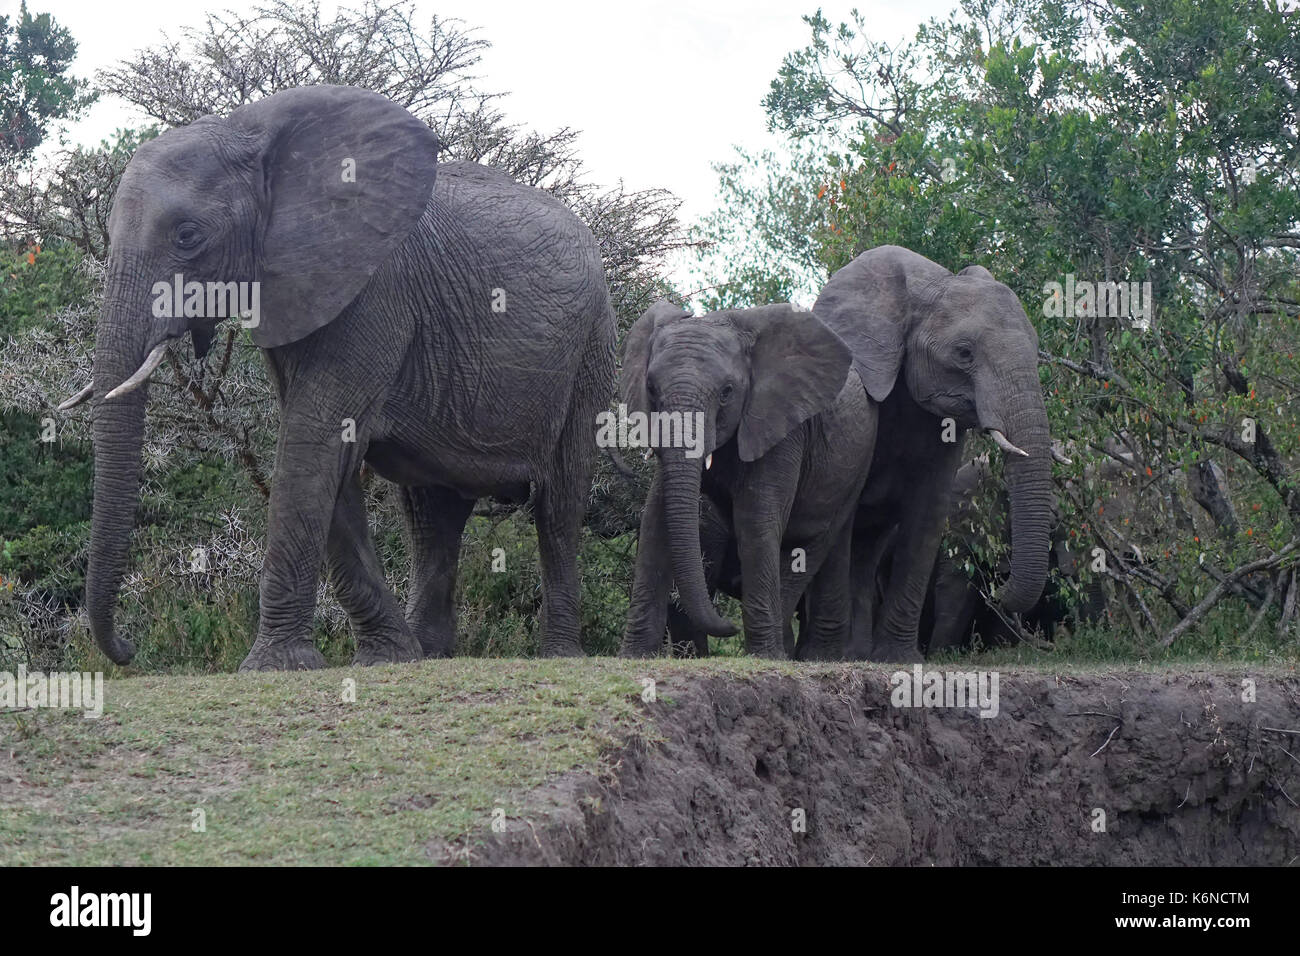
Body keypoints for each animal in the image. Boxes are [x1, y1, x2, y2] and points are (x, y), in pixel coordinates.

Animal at [61, 85, 615, 670]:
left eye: (188, 236)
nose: (127, 650)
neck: (254, 136)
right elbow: (327, 454)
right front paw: (389, 658)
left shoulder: (377, 293)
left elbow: (315, 439)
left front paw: (274, 666)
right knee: (433, 514)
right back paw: (431, 653)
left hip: (592, 345)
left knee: (559, 503)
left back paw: (560, 656)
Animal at [617, 301, 876, 659]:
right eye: (652, 389)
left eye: (727, 392)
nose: (730, 628)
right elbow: (656, 521)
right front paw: (634, 655)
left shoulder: (782, 427)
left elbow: (755, 520)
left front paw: (765, 656)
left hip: (856, 465)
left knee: (813, 544)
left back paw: (791, 654)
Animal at [809, 245, 1054, 663]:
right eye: (964, 353)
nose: (998, 587)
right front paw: (829, 658)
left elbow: (927, 515)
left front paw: (899, 660)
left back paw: (859, 652)